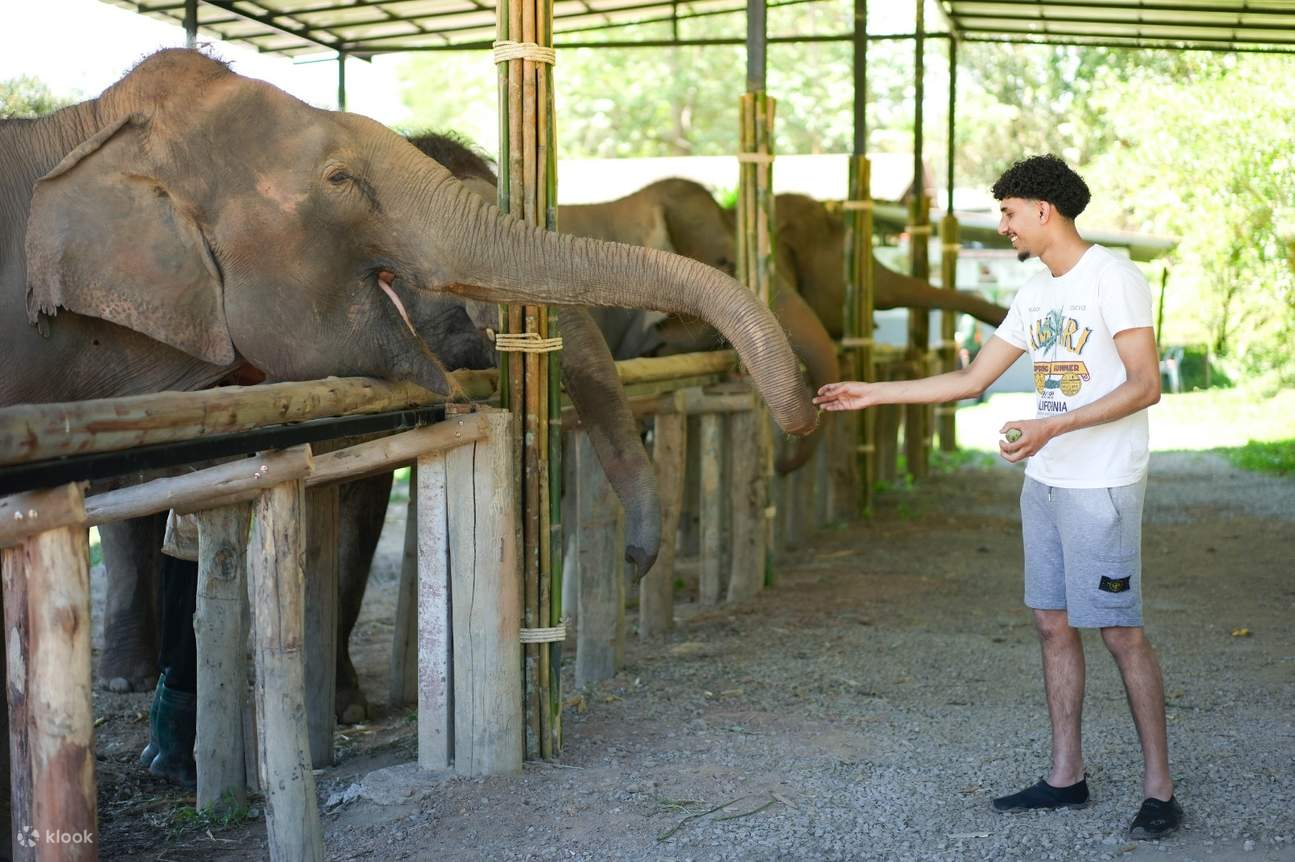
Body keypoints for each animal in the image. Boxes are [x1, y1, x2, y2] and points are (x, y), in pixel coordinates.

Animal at [1, 49, 815, 779]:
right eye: (341, 181)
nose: (635, 561)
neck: (89, 130)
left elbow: (356, 514)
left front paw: (347, 709)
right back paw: (133, 691)